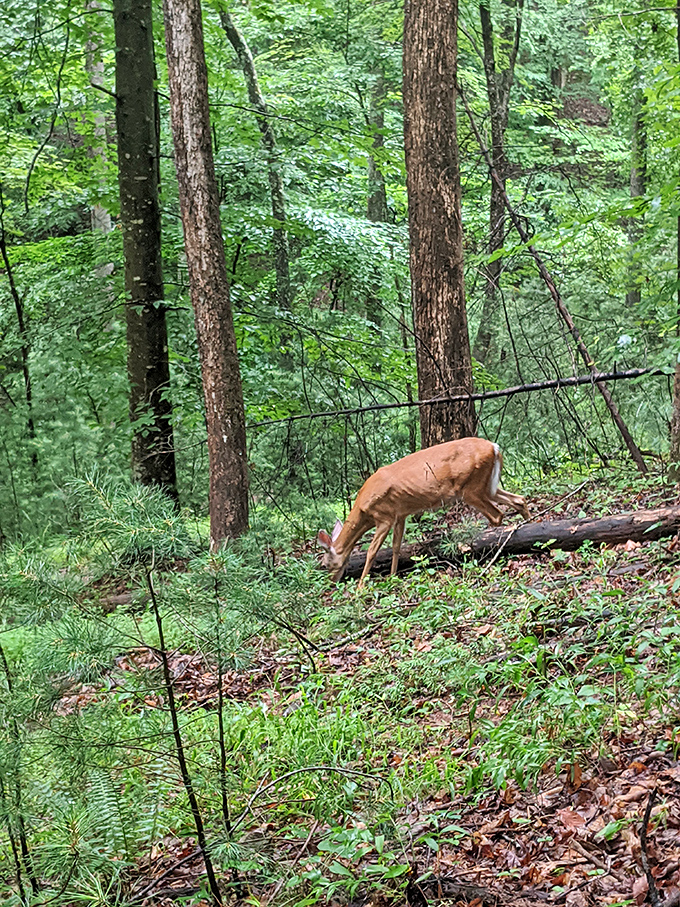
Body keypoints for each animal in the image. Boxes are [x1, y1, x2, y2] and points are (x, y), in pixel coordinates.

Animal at [317, 437, 529, 588]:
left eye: (325, 564)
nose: (331, 584)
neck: (363, 509)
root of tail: (494, 447)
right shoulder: (400, 514)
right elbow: (396, 547)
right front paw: (393, 576)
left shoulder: (384, 517)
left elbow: (371, 551)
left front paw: (360, 587)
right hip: (487, 486)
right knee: (519, 499)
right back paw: (527, 524)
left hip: (471, 487)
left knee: (497, 515)